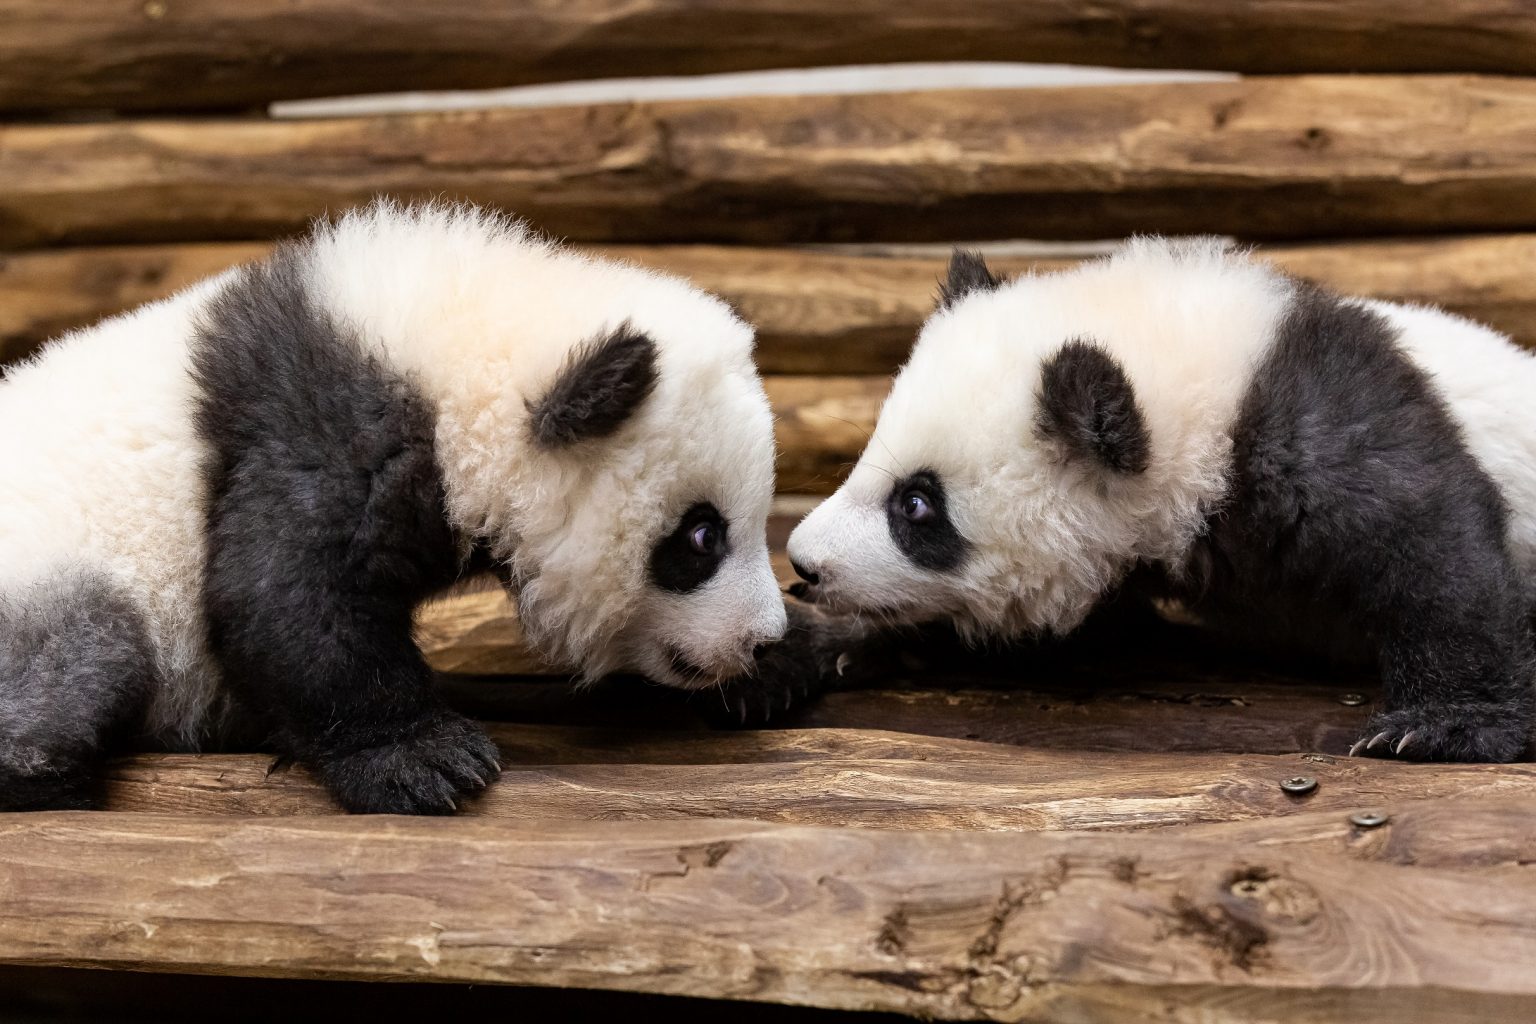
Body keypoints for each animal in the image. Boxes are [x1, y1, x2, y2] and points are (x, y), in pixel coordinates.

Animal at [0, 200, 786, 813]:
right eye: (700, 538)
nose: (762, 640)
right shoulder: (323, 430)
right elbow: (285, 594)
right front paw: (424, 760)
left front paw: (784, 672)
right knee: (79, 662)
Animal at [776, 238, 1536, 762]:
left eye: (917, 506)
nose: (805, 565)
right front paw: (831, 648)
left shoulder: (1320, 423)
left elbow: (1432, 540)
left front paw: (1443, 724)